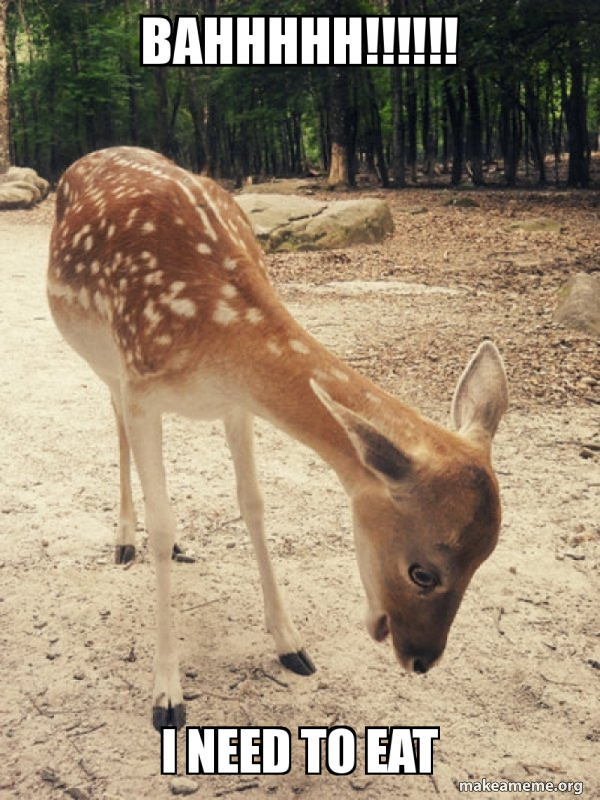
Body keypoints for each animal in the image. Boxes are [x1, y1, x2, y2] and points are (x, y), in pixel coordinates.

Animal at [47, 147, 508, 731]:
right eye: (422, 572)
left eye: (485, 559)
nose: (421, 659)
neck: (212, 333)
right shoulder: (140, 387)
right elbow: (164, 515)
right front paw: (167, 694)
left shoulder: (237, 404)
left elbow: (253, 504)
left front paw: (291, 644)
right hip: (105, 361)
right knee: (115, 423)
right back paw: (126, 539)